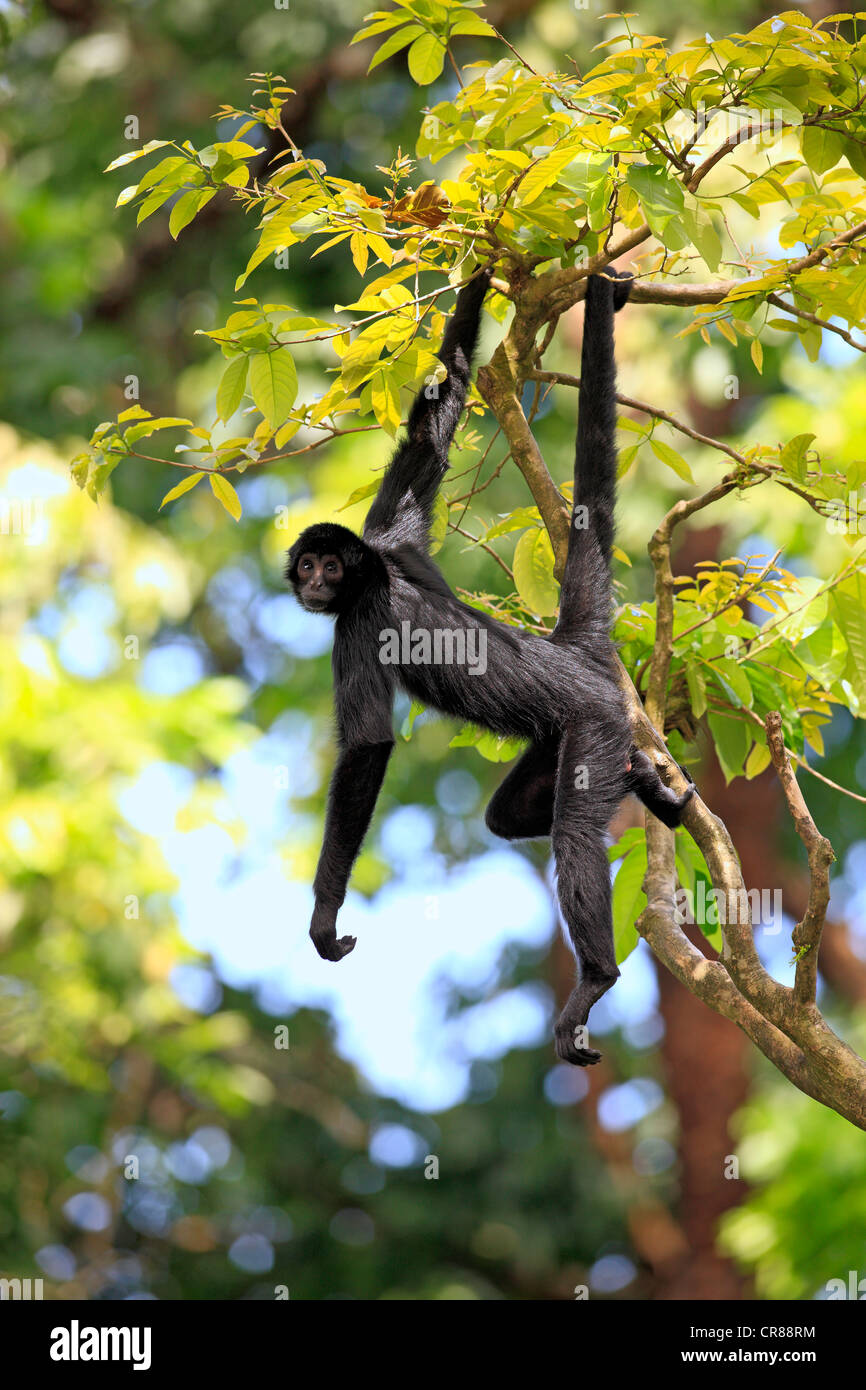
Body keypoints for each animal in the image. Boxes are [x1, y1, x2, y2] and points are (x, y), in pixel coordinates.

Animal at [287, 266, 693, 1065]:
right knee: (508, 816)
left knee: (574, 829)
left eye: (329, 568)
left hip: (594, 720)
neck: (375, 572)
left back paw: (596, 979)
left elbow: (369, 744)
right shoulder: (392, 540)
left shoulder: (359, 620)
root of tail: (572, 650)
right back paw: (646, 784)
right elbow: (429, 435)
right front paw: (476, 277)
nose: (313, 581)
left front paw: (323, 916)